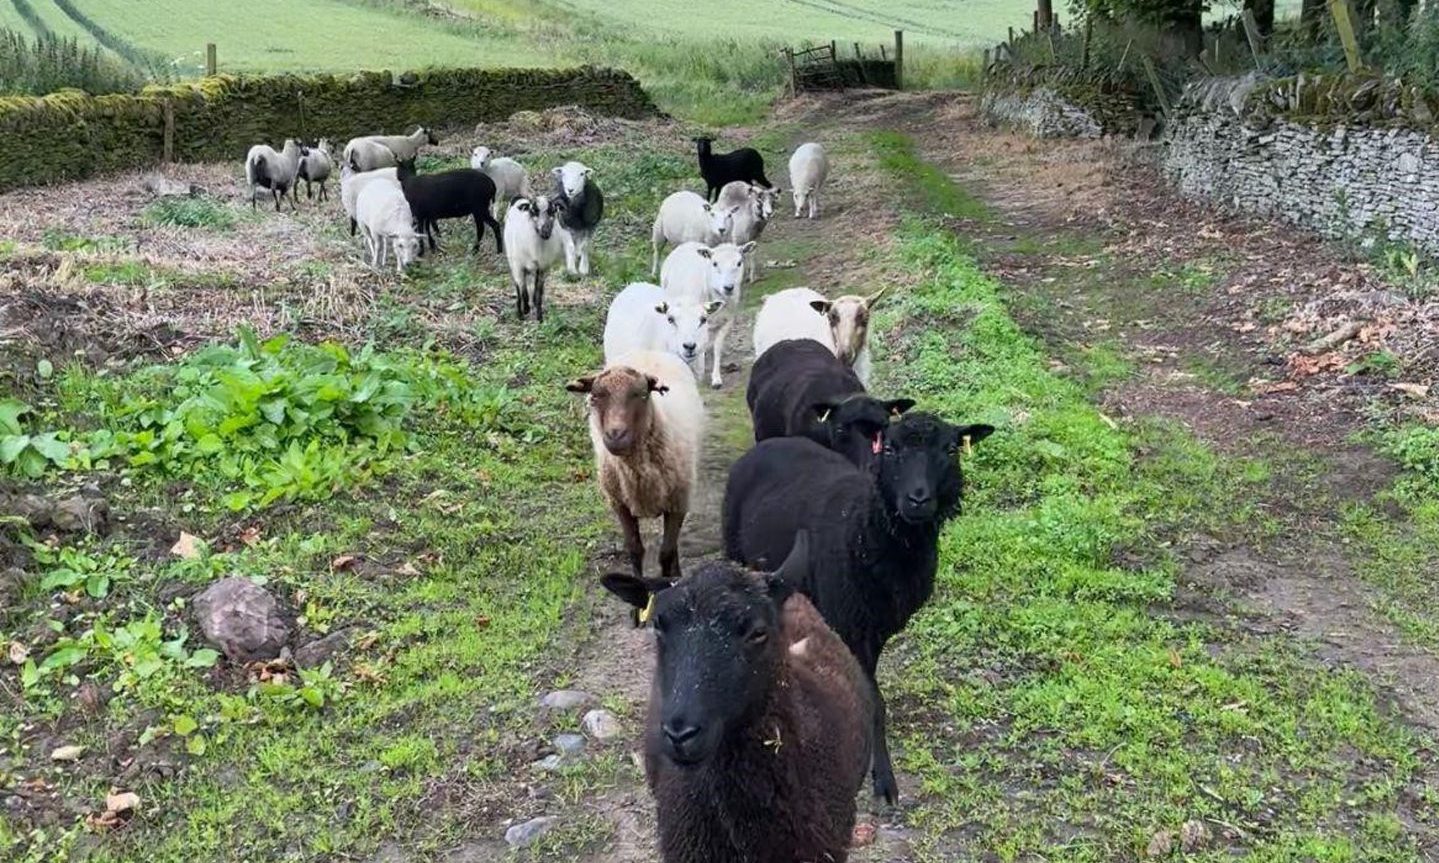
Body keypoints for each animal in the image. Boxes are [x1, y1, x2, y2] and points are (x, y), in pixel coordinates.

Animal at [567, 350, 703, 583]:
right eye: (595, 397)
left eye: (641, 395)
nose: (616, 436)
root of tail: (648, 350)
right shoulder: (619, 503)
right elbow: (635, 549)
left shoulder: (678, 502)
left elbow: (666, 552)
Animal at [660, 241, 754, 389]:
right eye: (714, 263)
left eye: (739, 263)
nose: (728, 287)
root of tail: (688, 243)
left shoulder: (727, 321)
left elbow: (717, 348)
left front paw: (716, 378)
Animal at [723, 413, 996, 804]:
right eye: (891, 449)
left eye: (950, 450)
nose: (918, 499)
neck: (867, 528)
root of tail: (768, 444)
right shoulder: (850, 625)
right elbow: (873, 700)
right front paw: (883, 780)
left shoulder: (875, 628)